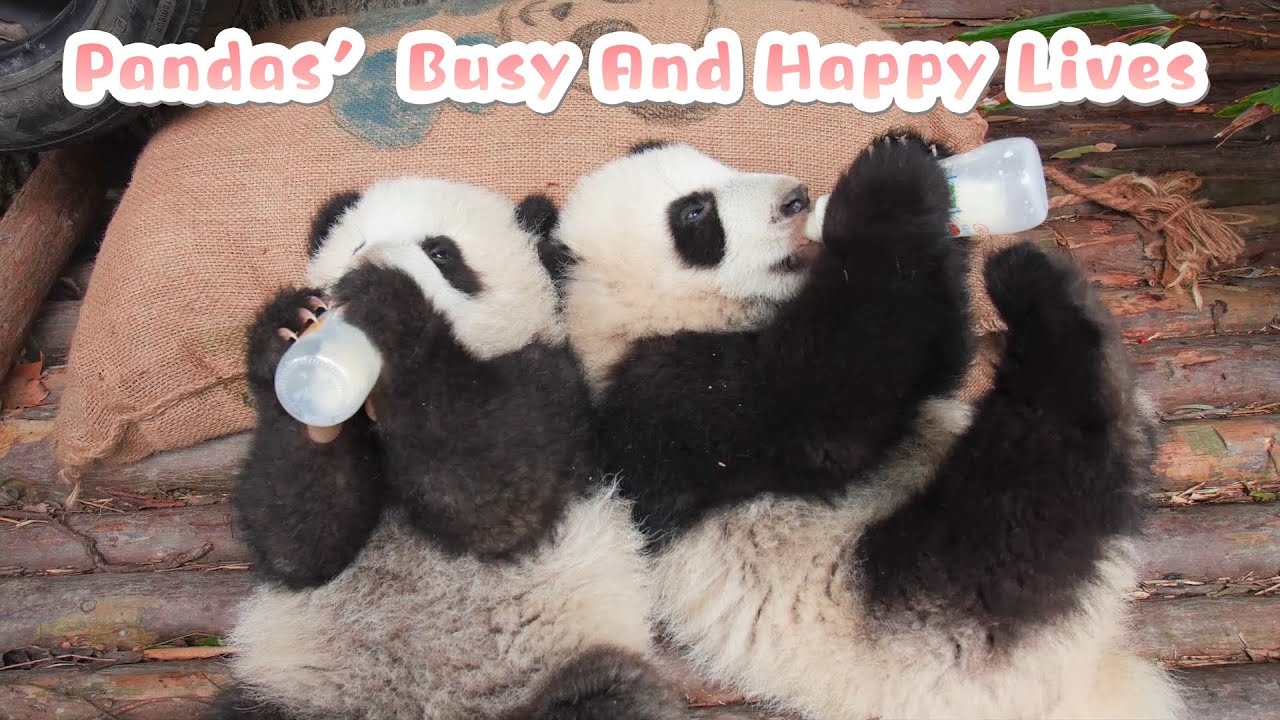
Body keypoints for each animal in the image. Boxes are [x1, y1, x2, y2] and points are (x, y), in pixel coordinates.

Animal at [208, 177, 687, 720]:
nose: (361, 268)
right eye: (355, 243)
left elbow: (495, 497)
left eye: (440, 252)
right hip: (290, 694)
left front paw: (390, 305)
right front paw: (287, 328)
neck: (381, 407)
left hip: (562, 666)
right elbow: (300, 542)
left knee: (607, 697)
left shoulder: (552, 388)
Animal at [548, 134, 1186, 720]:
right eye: (695, 214)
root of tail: (1073, 682)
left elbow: (930, 356)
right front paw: (889, 182)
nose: (797, 200)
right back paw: (1047, 307)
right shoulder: (666, 404)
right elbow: (830, 400)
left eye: (724, 165)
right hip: (921, 596)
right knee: (1031, 495)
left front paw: (926, 155)